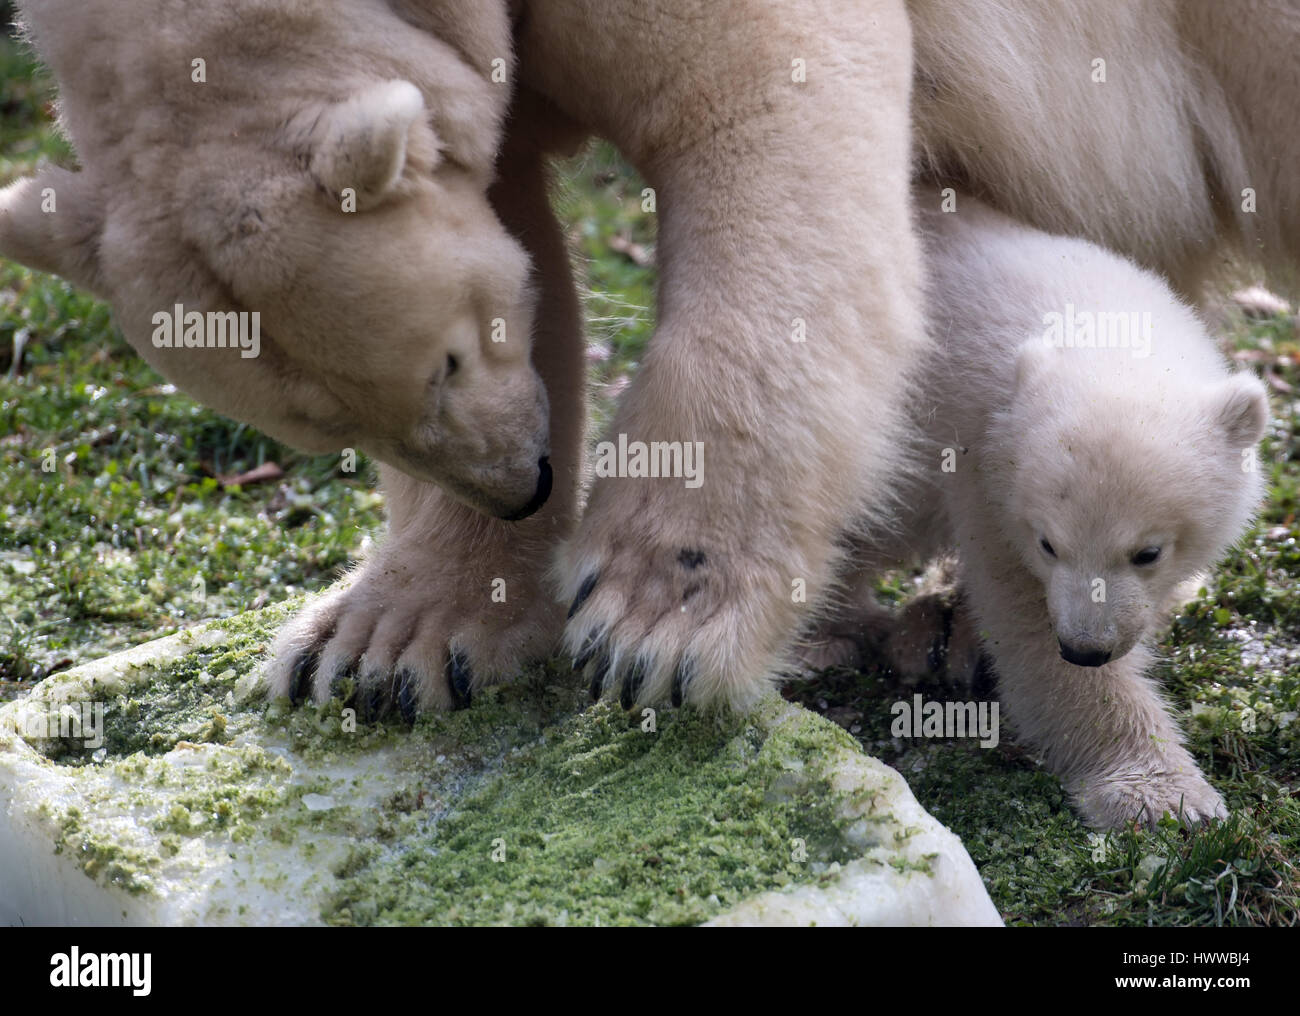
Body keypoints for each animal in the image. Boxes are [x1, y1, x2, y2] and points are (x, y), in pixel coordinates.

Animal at [805, 196, 1270, 829]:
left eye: (1148, 552)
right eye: (1049, 544)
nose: (1085, 648)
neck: (1091, 316)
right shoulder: (986, 462)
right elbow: (1021, 612)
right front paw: (1162, 798)